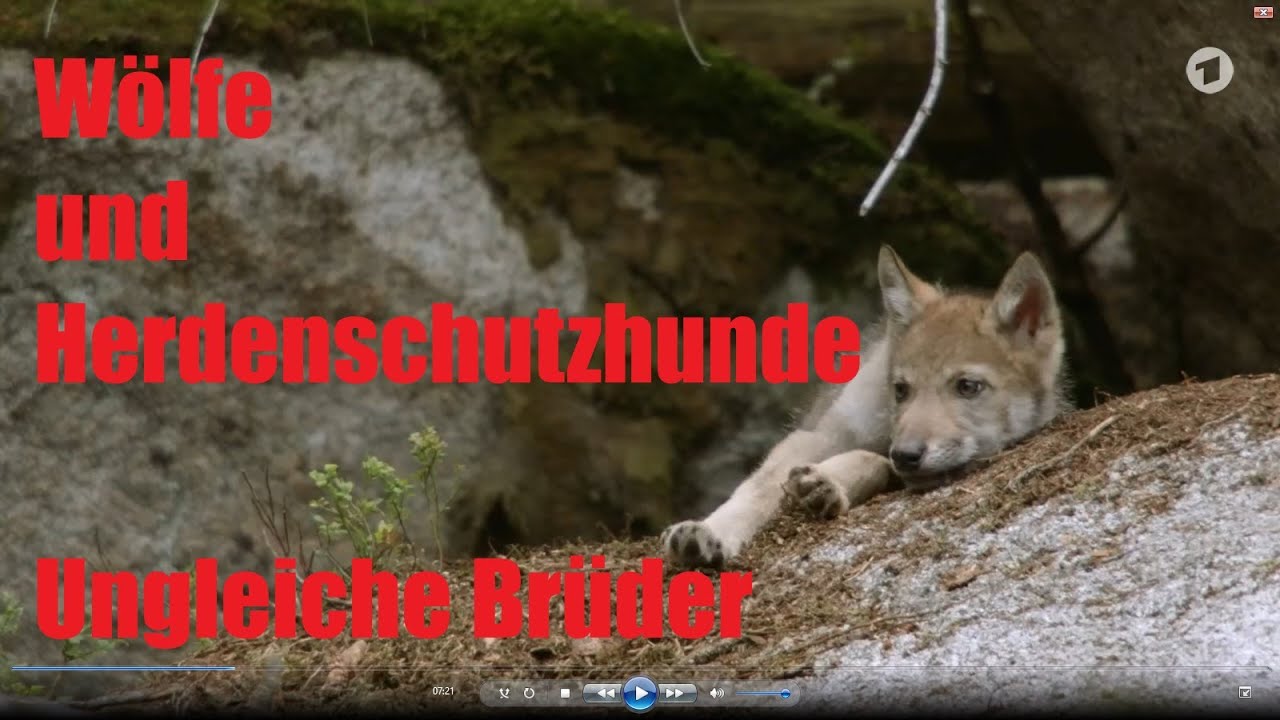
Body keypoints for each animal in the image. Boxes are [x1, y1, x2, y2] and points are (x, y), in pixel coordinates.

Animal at [661, 245, 1071, 569]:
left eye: (968, 387)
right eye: (901, 390)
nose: (906, 454)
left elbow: (873, 461)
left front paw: (826, 484)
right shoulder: (818, 434)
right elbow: (755, 490)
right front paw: (709, 531)